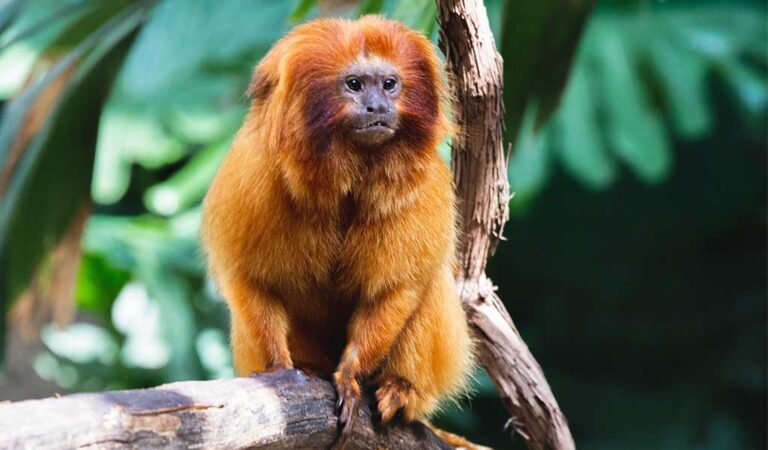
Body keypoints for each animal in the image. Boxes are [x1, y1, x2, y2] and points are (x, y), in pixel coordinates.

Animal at [201, 15, 474, 443]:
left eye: (389, 84)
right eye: (355, 84)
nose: (377, 106)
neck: (347, 167)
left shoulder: (425, 185)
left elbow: (397, 288)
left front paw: (349, 375)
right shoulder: (254, 170)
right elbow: (248, 279)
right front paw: (281, 368)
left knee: (431, 285)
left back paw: (402, 389)